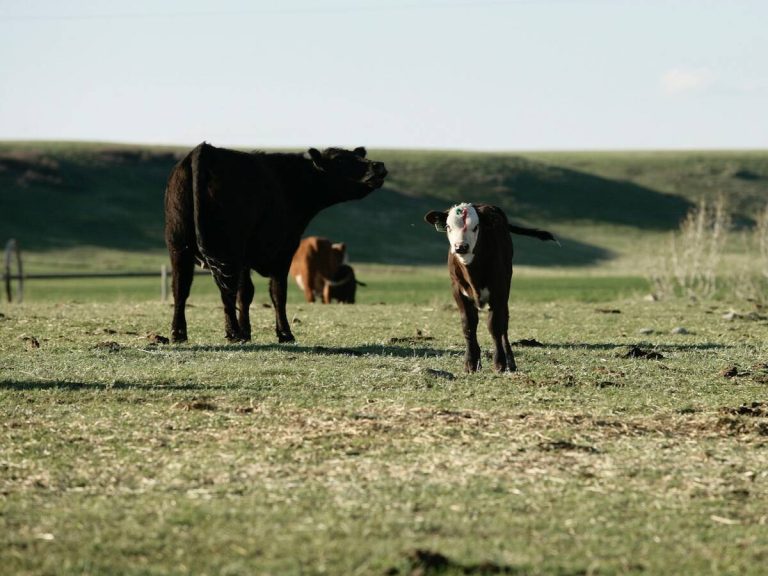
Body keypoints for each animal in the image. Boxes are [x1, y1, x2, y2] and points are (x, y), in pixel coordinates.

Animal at [165, 142, 387, 343]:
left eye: (357, 155)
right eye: (340, 160)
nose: (378, 165)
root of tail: (204, 149)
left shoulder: (246, 258)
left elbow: (246, 293)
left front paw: (247, 332)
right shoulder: (283, 251)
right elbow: (278, 292)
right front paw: (285, 333)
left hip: (179, 246)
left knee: (181, 288)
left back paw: (179, 334)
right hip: (228, 248)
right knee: (225, 289)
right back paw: (232, 333)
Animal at [424, 203, 557, 372]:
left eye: (476, 227)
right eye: (448, 226)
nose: (461, 247)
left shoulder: (498, 291)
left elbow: (495, 326)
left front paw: (499, 363)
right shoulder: (457, 291)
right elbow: (468, 325)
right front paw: (471, 363)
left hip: (506, 291)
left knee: (504, 325)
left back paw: (510, 361)